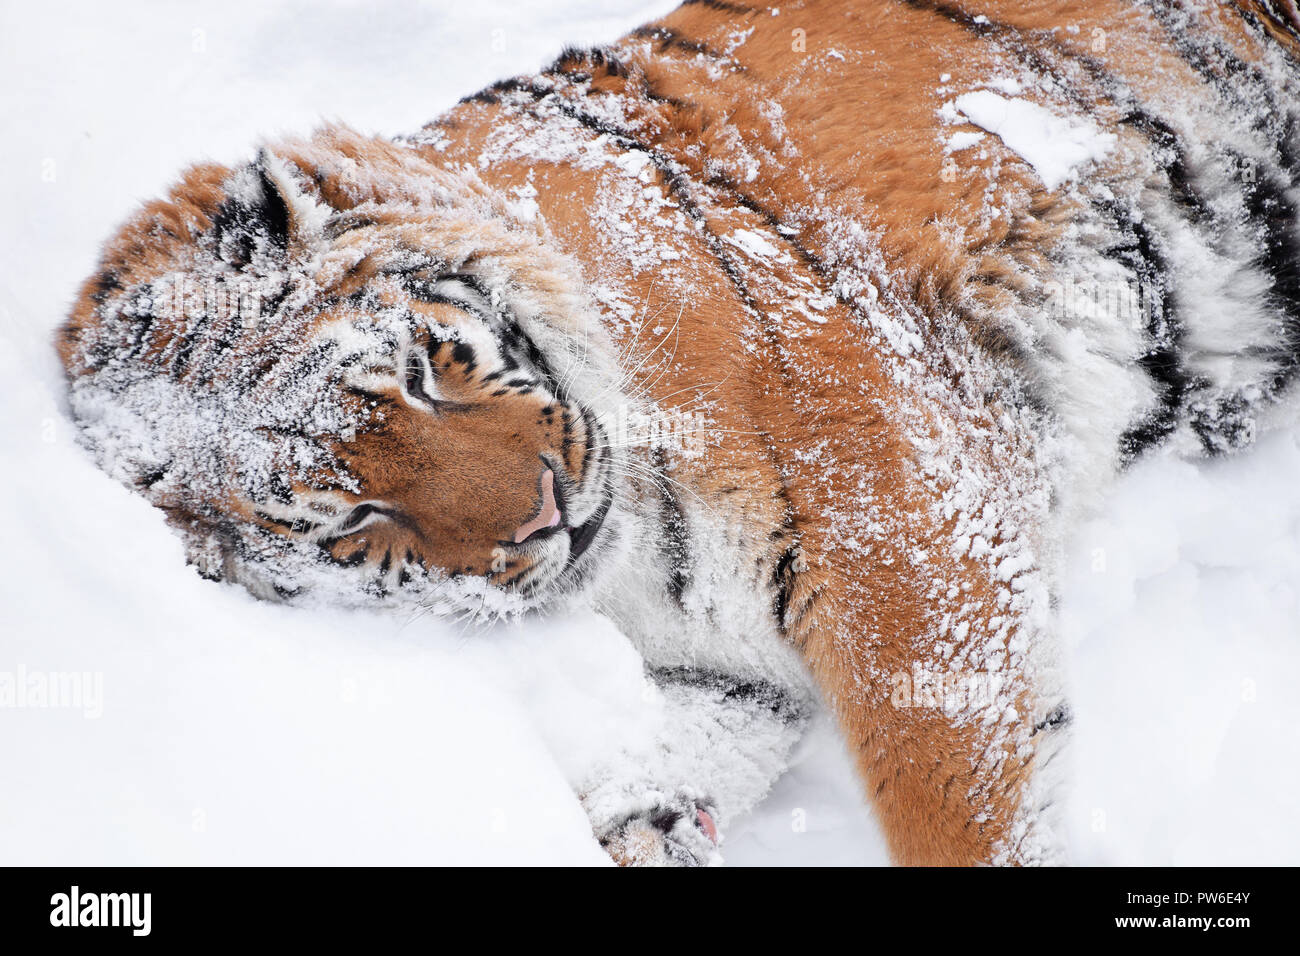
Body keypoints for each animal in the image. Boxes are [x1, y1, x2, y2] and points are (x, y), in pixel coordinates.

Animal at [57, 0, 1300, 866]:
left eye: (420, 371)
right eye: (355, 517)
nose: (546, 512)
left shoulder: (903, 531)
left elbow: (947, 792)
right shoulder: (720, 666)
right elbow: (649, 765)